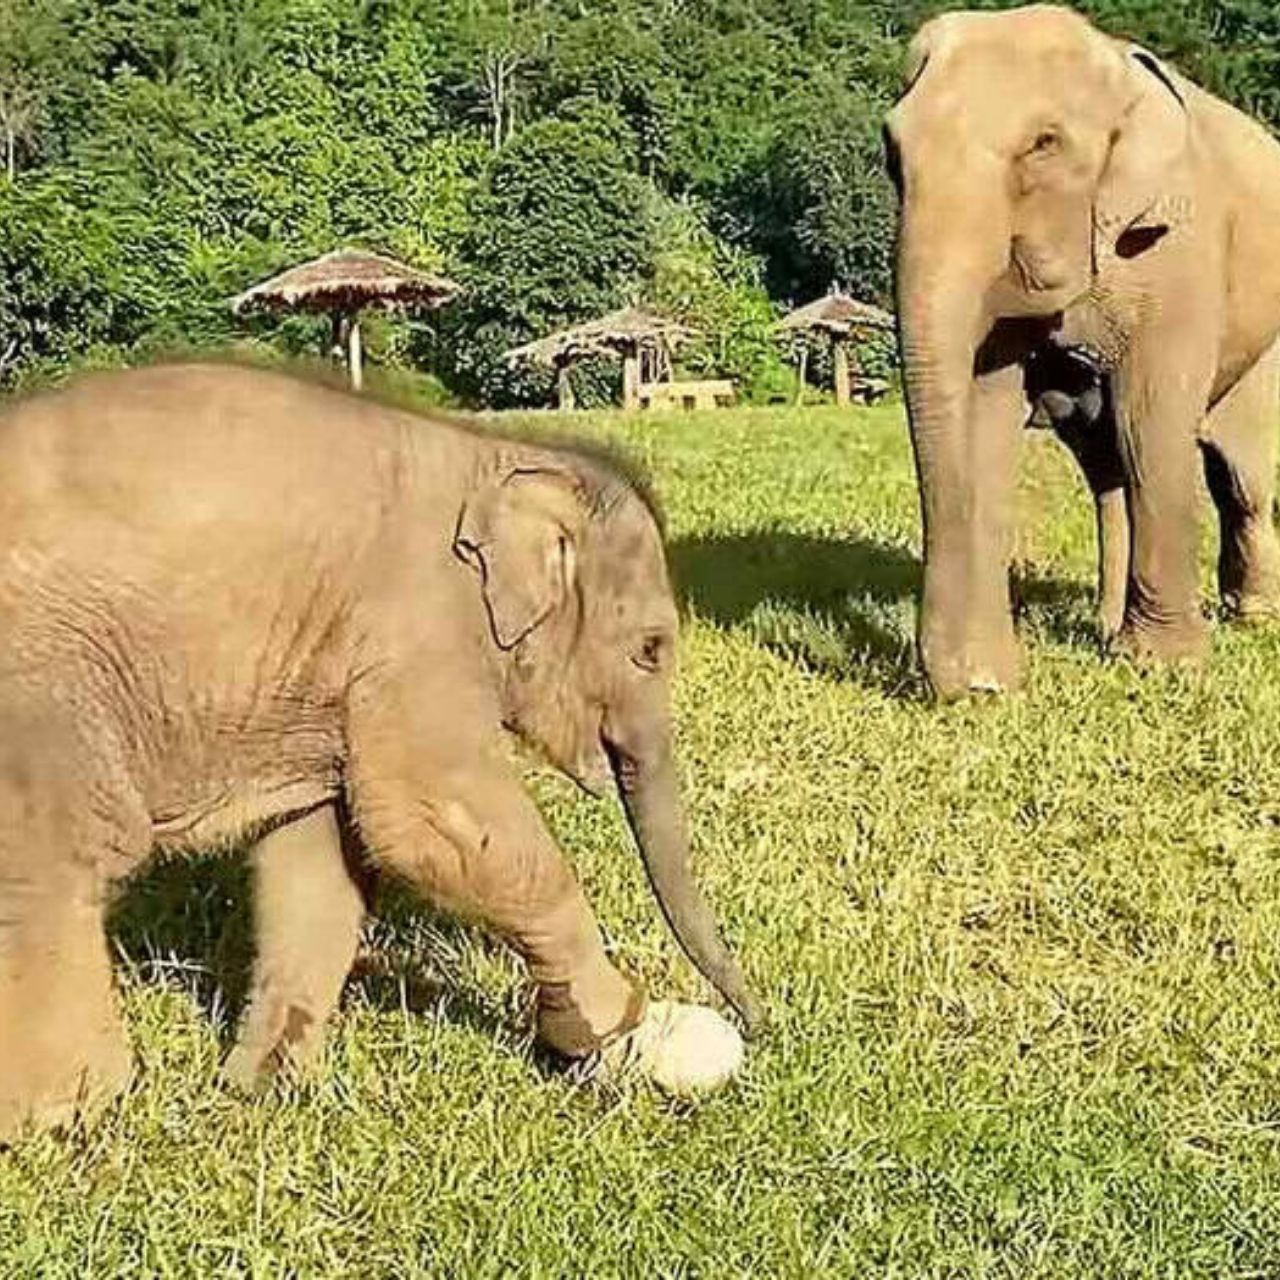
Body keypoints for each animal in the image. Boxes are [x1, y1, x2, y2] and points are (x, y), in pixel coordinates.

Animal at [0, 363, 762, 1142]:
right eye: (651, 649)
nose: (758, 1020)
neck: (494, 455)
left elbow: (319, 862)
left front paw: (269, 1089)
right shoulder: (416, 627)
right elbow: (431, 819)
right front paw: (605, 1028)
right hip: (40, 690)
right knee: (54, 863)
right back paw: (71, 1121)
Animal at [884, 4, 1280, 698]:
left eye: (1044, 143)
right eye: (890, 151)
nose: (965, 689)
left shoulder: (1177, 248)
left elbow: (1151, 418)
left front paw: (1165, 667)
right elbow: (986, 423)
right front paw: (997, 678)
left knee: (1239, 472)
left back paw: (1252, 619)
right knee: (1109, 469)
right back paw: (1107, 625)